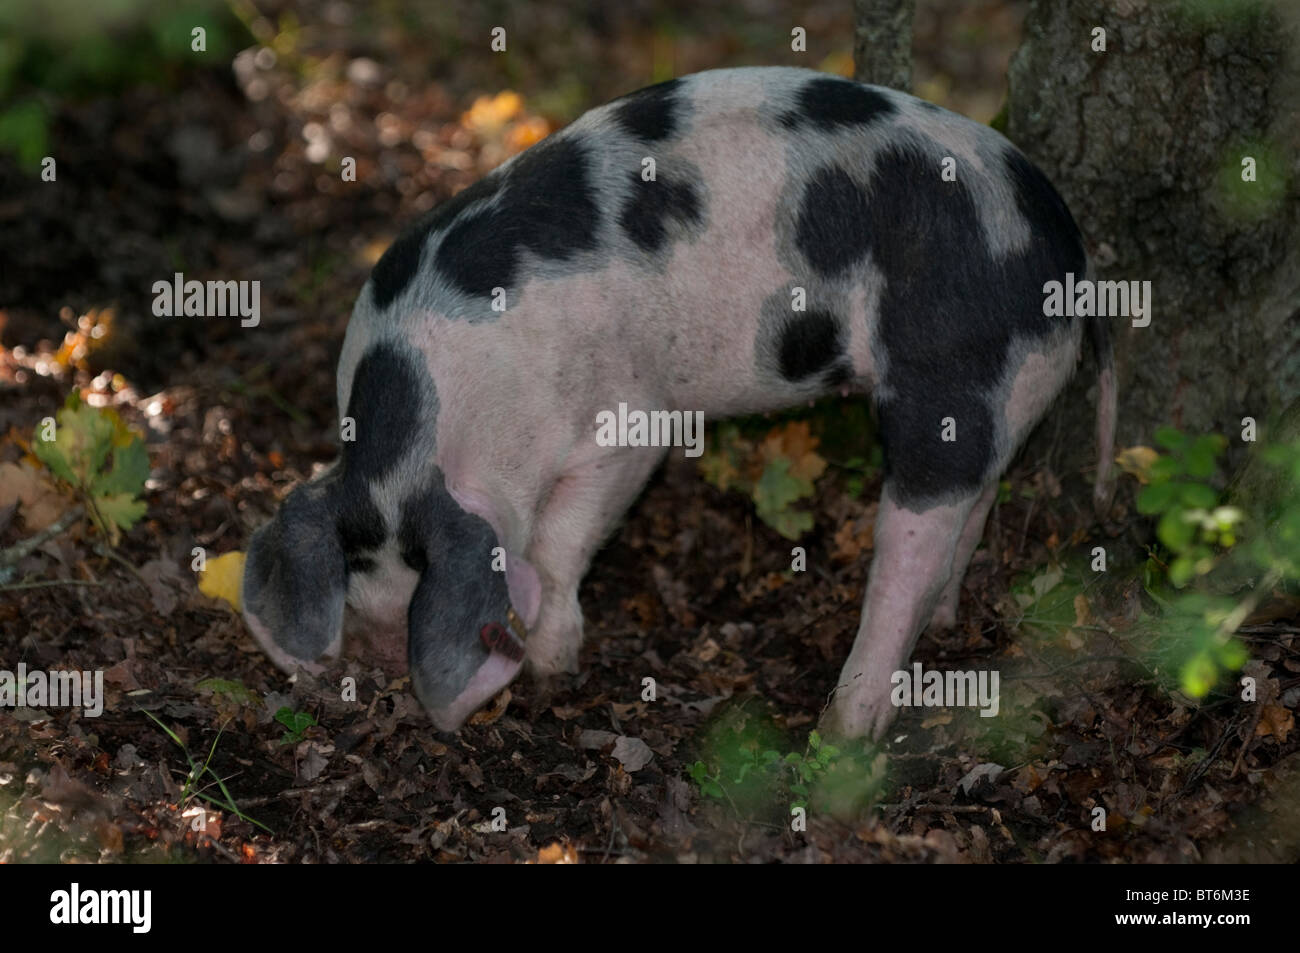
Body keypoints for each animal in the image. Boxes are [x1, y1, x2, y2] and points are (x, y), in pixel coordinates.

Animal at [240, 66, 1116, 740]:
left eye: (418, 561)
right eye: (355, 558)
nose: (380, 652)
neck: (443, 422)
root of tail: (1065, 245)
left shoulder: (629, 425)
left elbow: (557, 545)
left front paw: (554, 667)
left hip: (952, 377)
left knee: (917, 537)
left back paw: (840, 732)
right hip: (999, 392)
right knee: (979, 495)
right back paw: (941, 626)